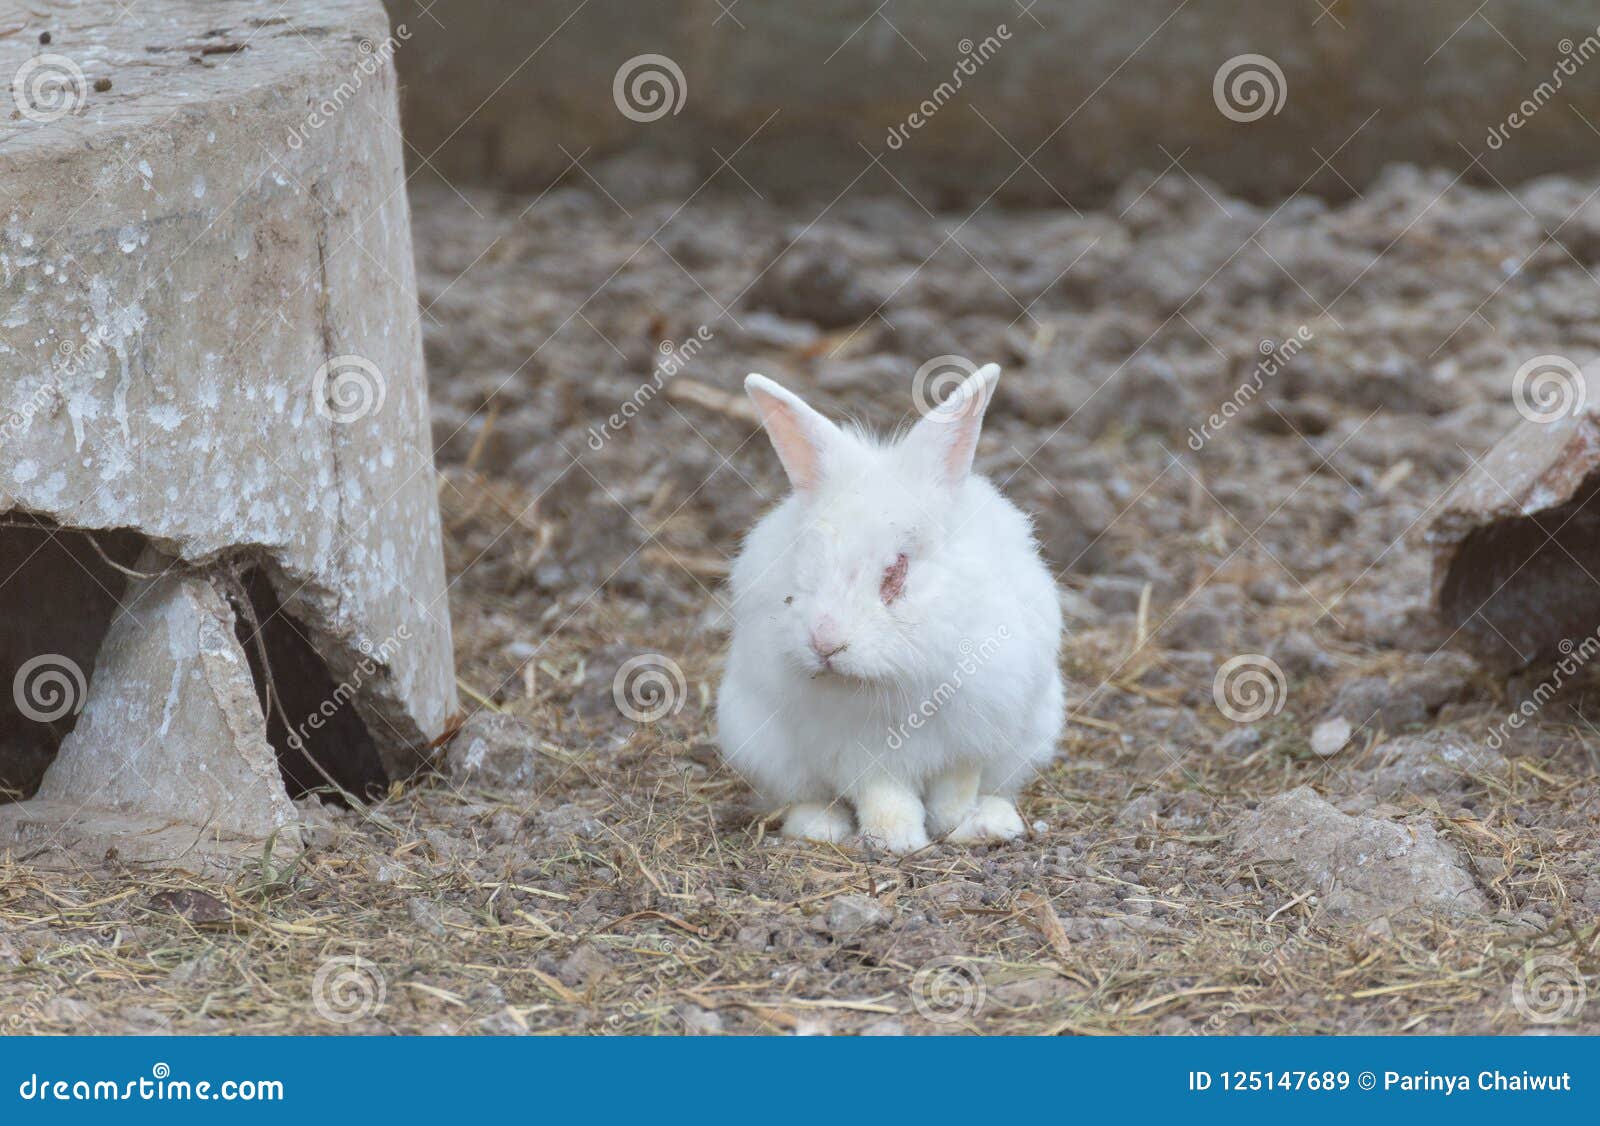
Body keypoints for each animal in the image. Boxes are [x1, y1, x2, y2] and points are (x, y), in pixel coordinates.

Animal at [716, 363, 1064, 852]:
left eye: (897, 570)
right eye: (806, 563)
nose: (825, 642)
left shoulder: (972, 735)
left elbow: (956, 789)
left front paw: (960, 827)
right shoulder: (859, 752)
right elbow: (883, 794)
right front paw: (897, 839)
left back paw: (997, 819)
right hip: (761, 742)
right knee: (802, 796)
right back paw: (821, 827)